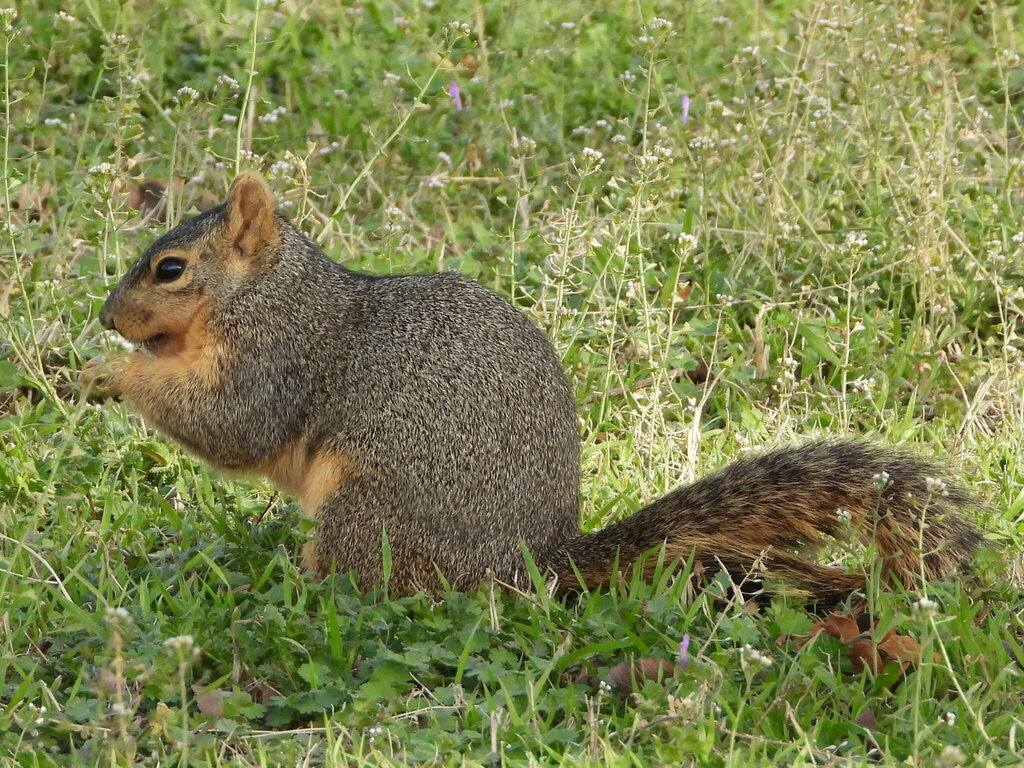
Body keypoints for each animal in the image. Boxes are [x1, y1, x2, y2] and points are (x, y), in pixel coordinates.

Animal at [82, 173, 981, 603]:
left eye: (170, 269)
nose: (106, 315)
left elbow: (230, 425)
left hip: (370, 515)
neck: (266, 294)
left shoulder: (278, 360)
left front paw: (114, 372)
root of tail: (532, 568)